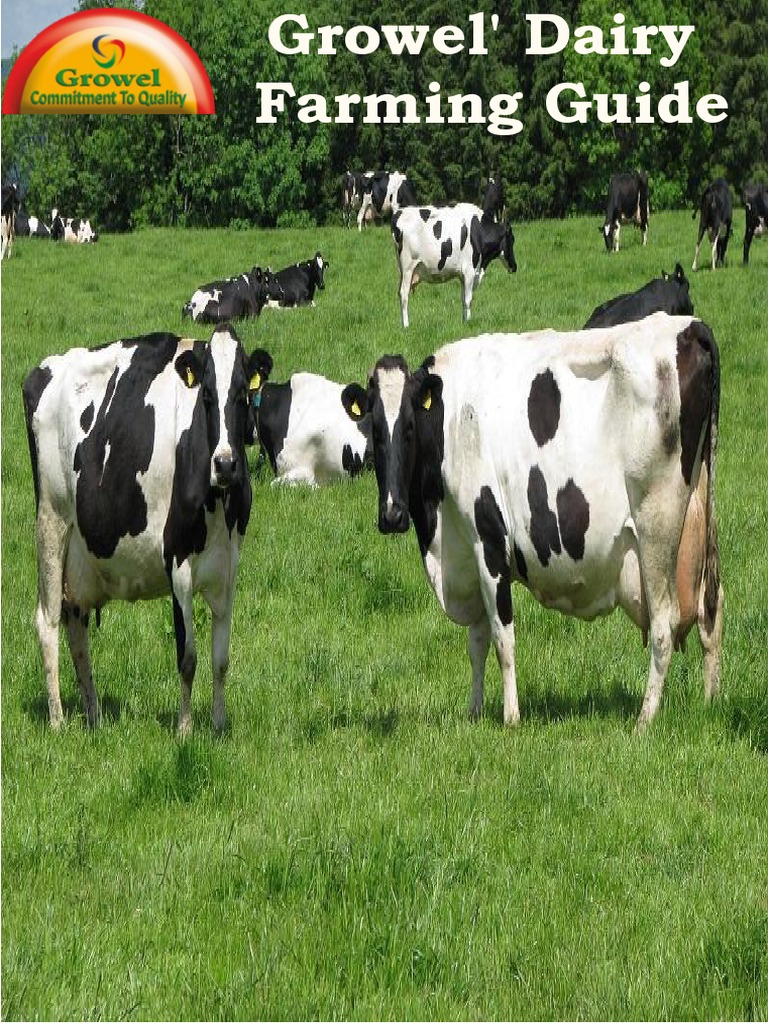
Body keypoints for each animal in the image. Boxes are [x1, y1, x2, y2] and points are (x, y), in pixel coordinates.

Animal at [22, 325, 273, 734]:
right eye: (206, 394)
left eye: (242, 394)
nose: (225, 463)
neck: (218, 502)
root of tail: (46, 368)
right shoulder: (178, 561)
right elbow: (188, 657)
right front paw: (185, 730)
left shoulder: (229, 564)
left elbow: (221, 658)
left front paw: (218, 726)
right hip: (51, 520)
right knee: (48, 620)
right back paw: (58, 721)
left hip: (80, 548)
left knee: (77, 625)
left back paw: (94, 717)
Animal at [346, 313, 723, 732]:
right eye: (374, 430)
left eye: (410, 427)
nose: (392, 515)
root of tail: (689, 326)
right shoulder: (467, 549)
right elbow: (476, 641)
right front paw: (474, 712)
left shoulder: (489, 538)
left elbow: (502, 637)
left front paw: (511, 716)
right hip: (698, 524)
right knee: (711, 609)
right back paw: (709, 702)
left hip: (657, 525)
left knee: (664, 621)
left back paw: (645, 720)